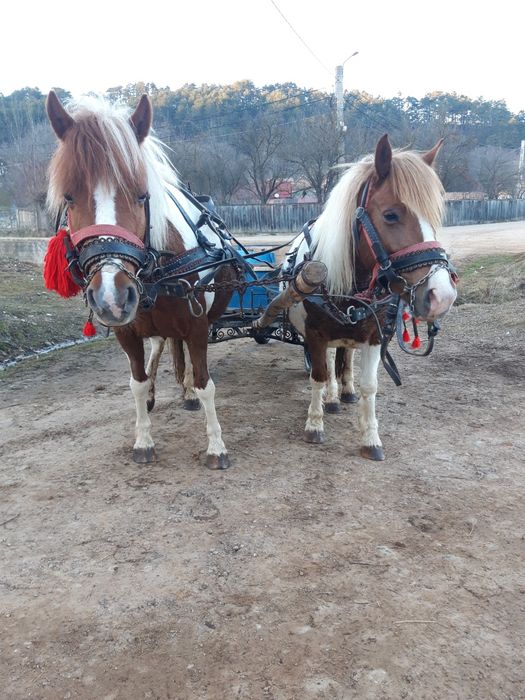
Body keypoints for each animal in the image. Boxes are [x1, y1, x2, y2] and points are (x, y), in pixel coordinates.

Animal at [45, 91, 241, 469]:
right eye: (70, 197)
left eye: (141, 194)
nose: (111, 297)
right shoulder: (126, 331)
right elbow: (136, 382)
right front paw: (143, 439)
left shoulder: (197, 326)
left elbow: (205, 382)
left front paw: (216, 445)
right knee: (162, 346)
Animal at [286, 134, 457, 460]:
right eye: (390, 214)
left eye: (435, 217)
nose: (441, 296)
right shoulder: (314, 335)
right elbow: (319, 376)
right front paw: (314, 424)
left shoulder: (375, 336)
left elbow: (369, 385)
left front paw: (370, 438)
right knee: (331, 363)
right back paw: (331, 399)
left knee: (345, 359)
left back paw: (345, 392)